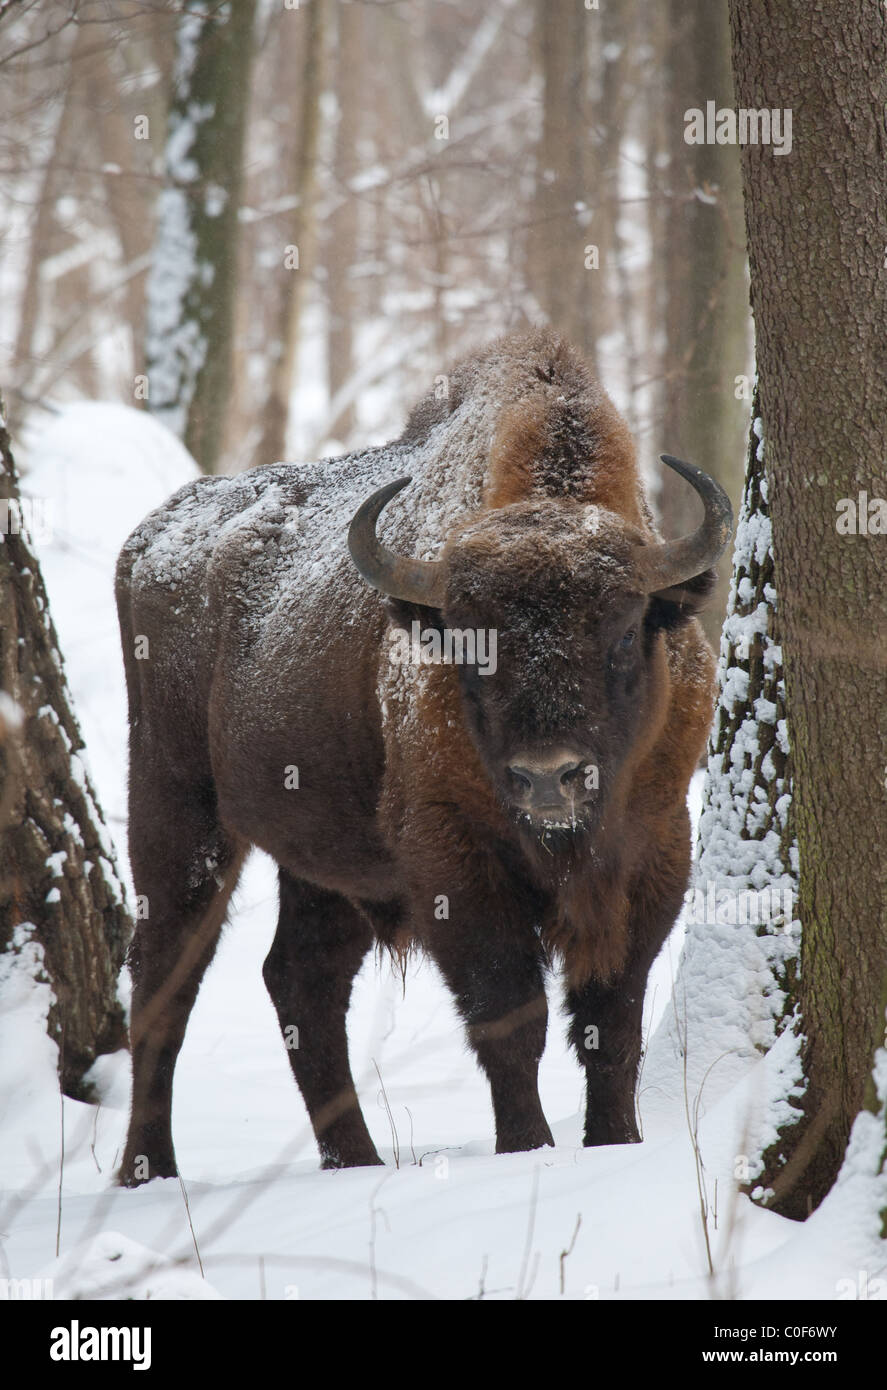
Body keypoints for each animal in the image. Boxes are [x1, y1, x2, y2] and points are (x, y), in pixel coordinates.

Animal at [115, 329, 731, 1184]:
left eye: (619, 631)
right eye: (469, 643)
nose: (548, 777)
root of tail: (150, 539)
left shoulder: (653, 851)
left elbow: (610, 1022)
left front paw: (615, 1143)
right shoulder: (453, 862)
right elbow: (510, 1018)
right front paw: (527, 1148)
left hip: (321, 860)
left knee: (300, 982)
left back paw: (354, 1160)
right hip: (176, 813)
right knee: (163, 984)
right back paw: (150, 1169)